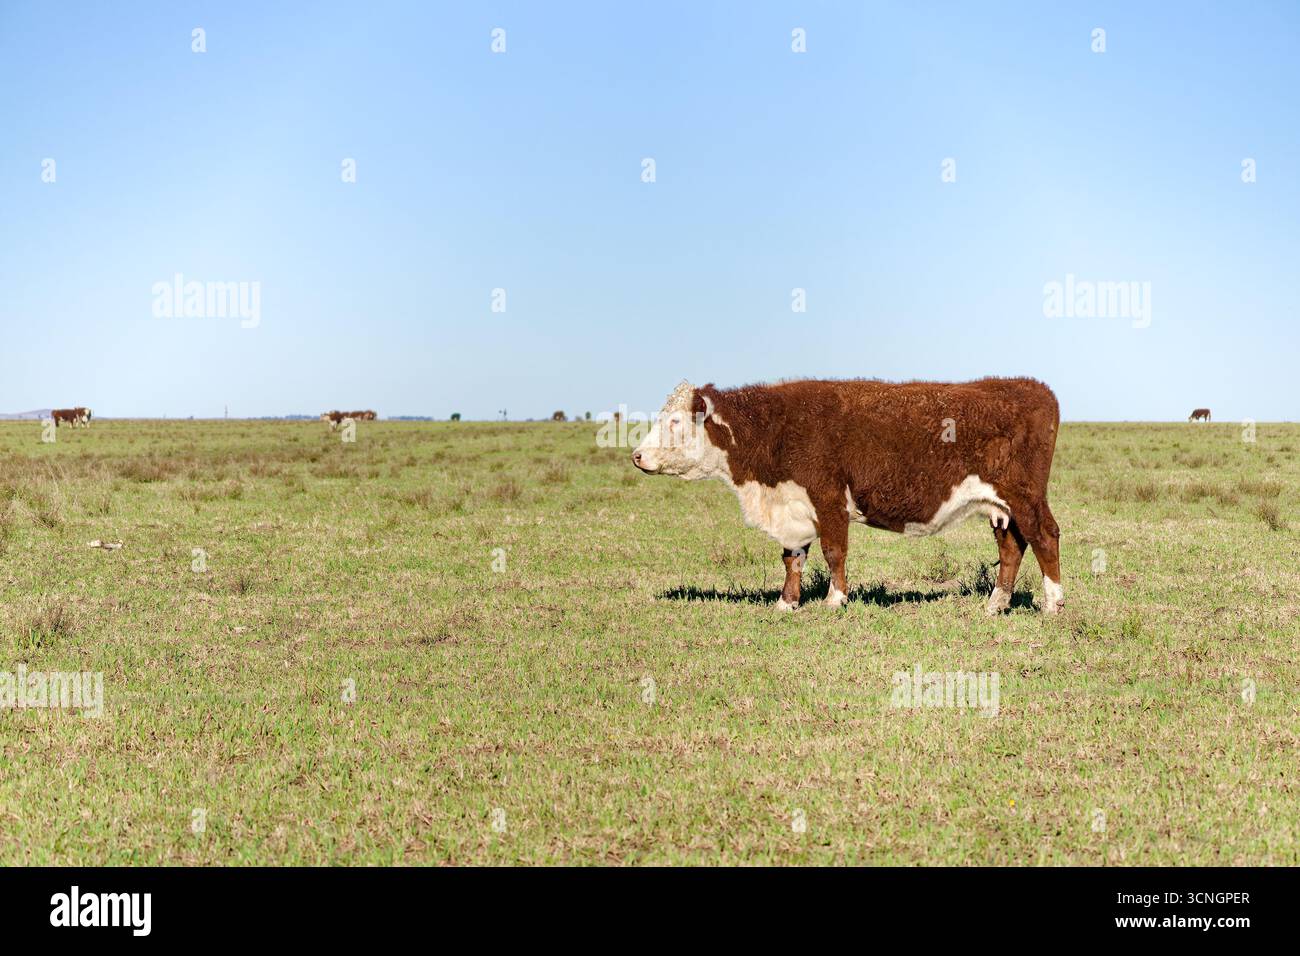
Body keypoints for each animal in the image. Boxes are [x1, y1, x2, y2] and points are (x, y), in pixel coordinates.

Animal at [631, 378, 1064, 616]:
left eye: (675, 421)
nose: (636, 455)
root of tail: (1028, 386)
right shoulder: (796, 507)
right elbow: (793, 558)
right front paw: (787, 602)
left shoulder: (828, 498)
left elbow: (833, 551)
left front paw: (835, 599)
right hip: (1001, 507)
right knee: (1012, 546)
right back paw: (995, 604)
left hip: (1025, 497)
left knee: (1045, 536)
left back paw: (1053, 604)